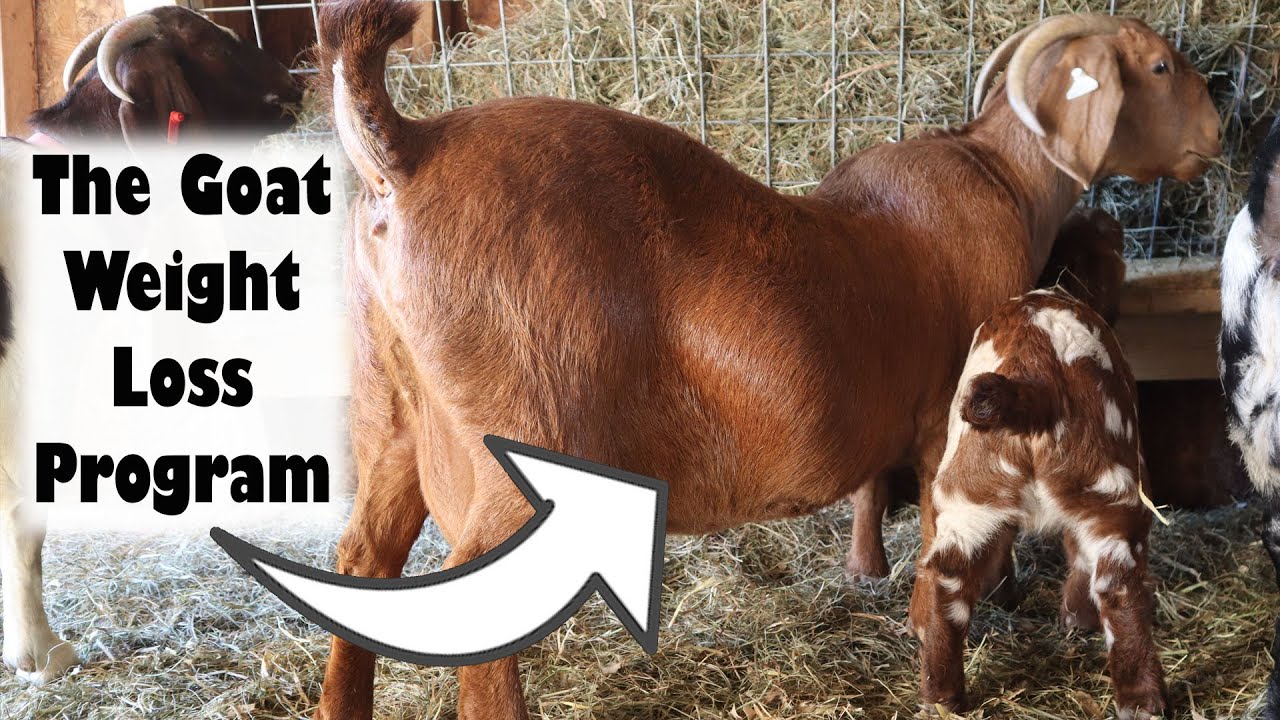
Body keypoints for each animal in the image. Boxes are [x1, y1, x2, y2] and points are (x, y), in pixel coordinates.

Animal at [315, 2, 1219, 717]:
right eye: (1161, 66)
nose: (1213, 136)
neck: (1000, 173)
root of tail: (404, 149)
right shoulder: (945, 414)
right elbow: (939, 527)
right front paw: (930, 619)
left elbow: (871, 490)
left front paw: (868, 572)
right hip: (516, 438)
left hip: (389, 413)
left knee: (363, 557)